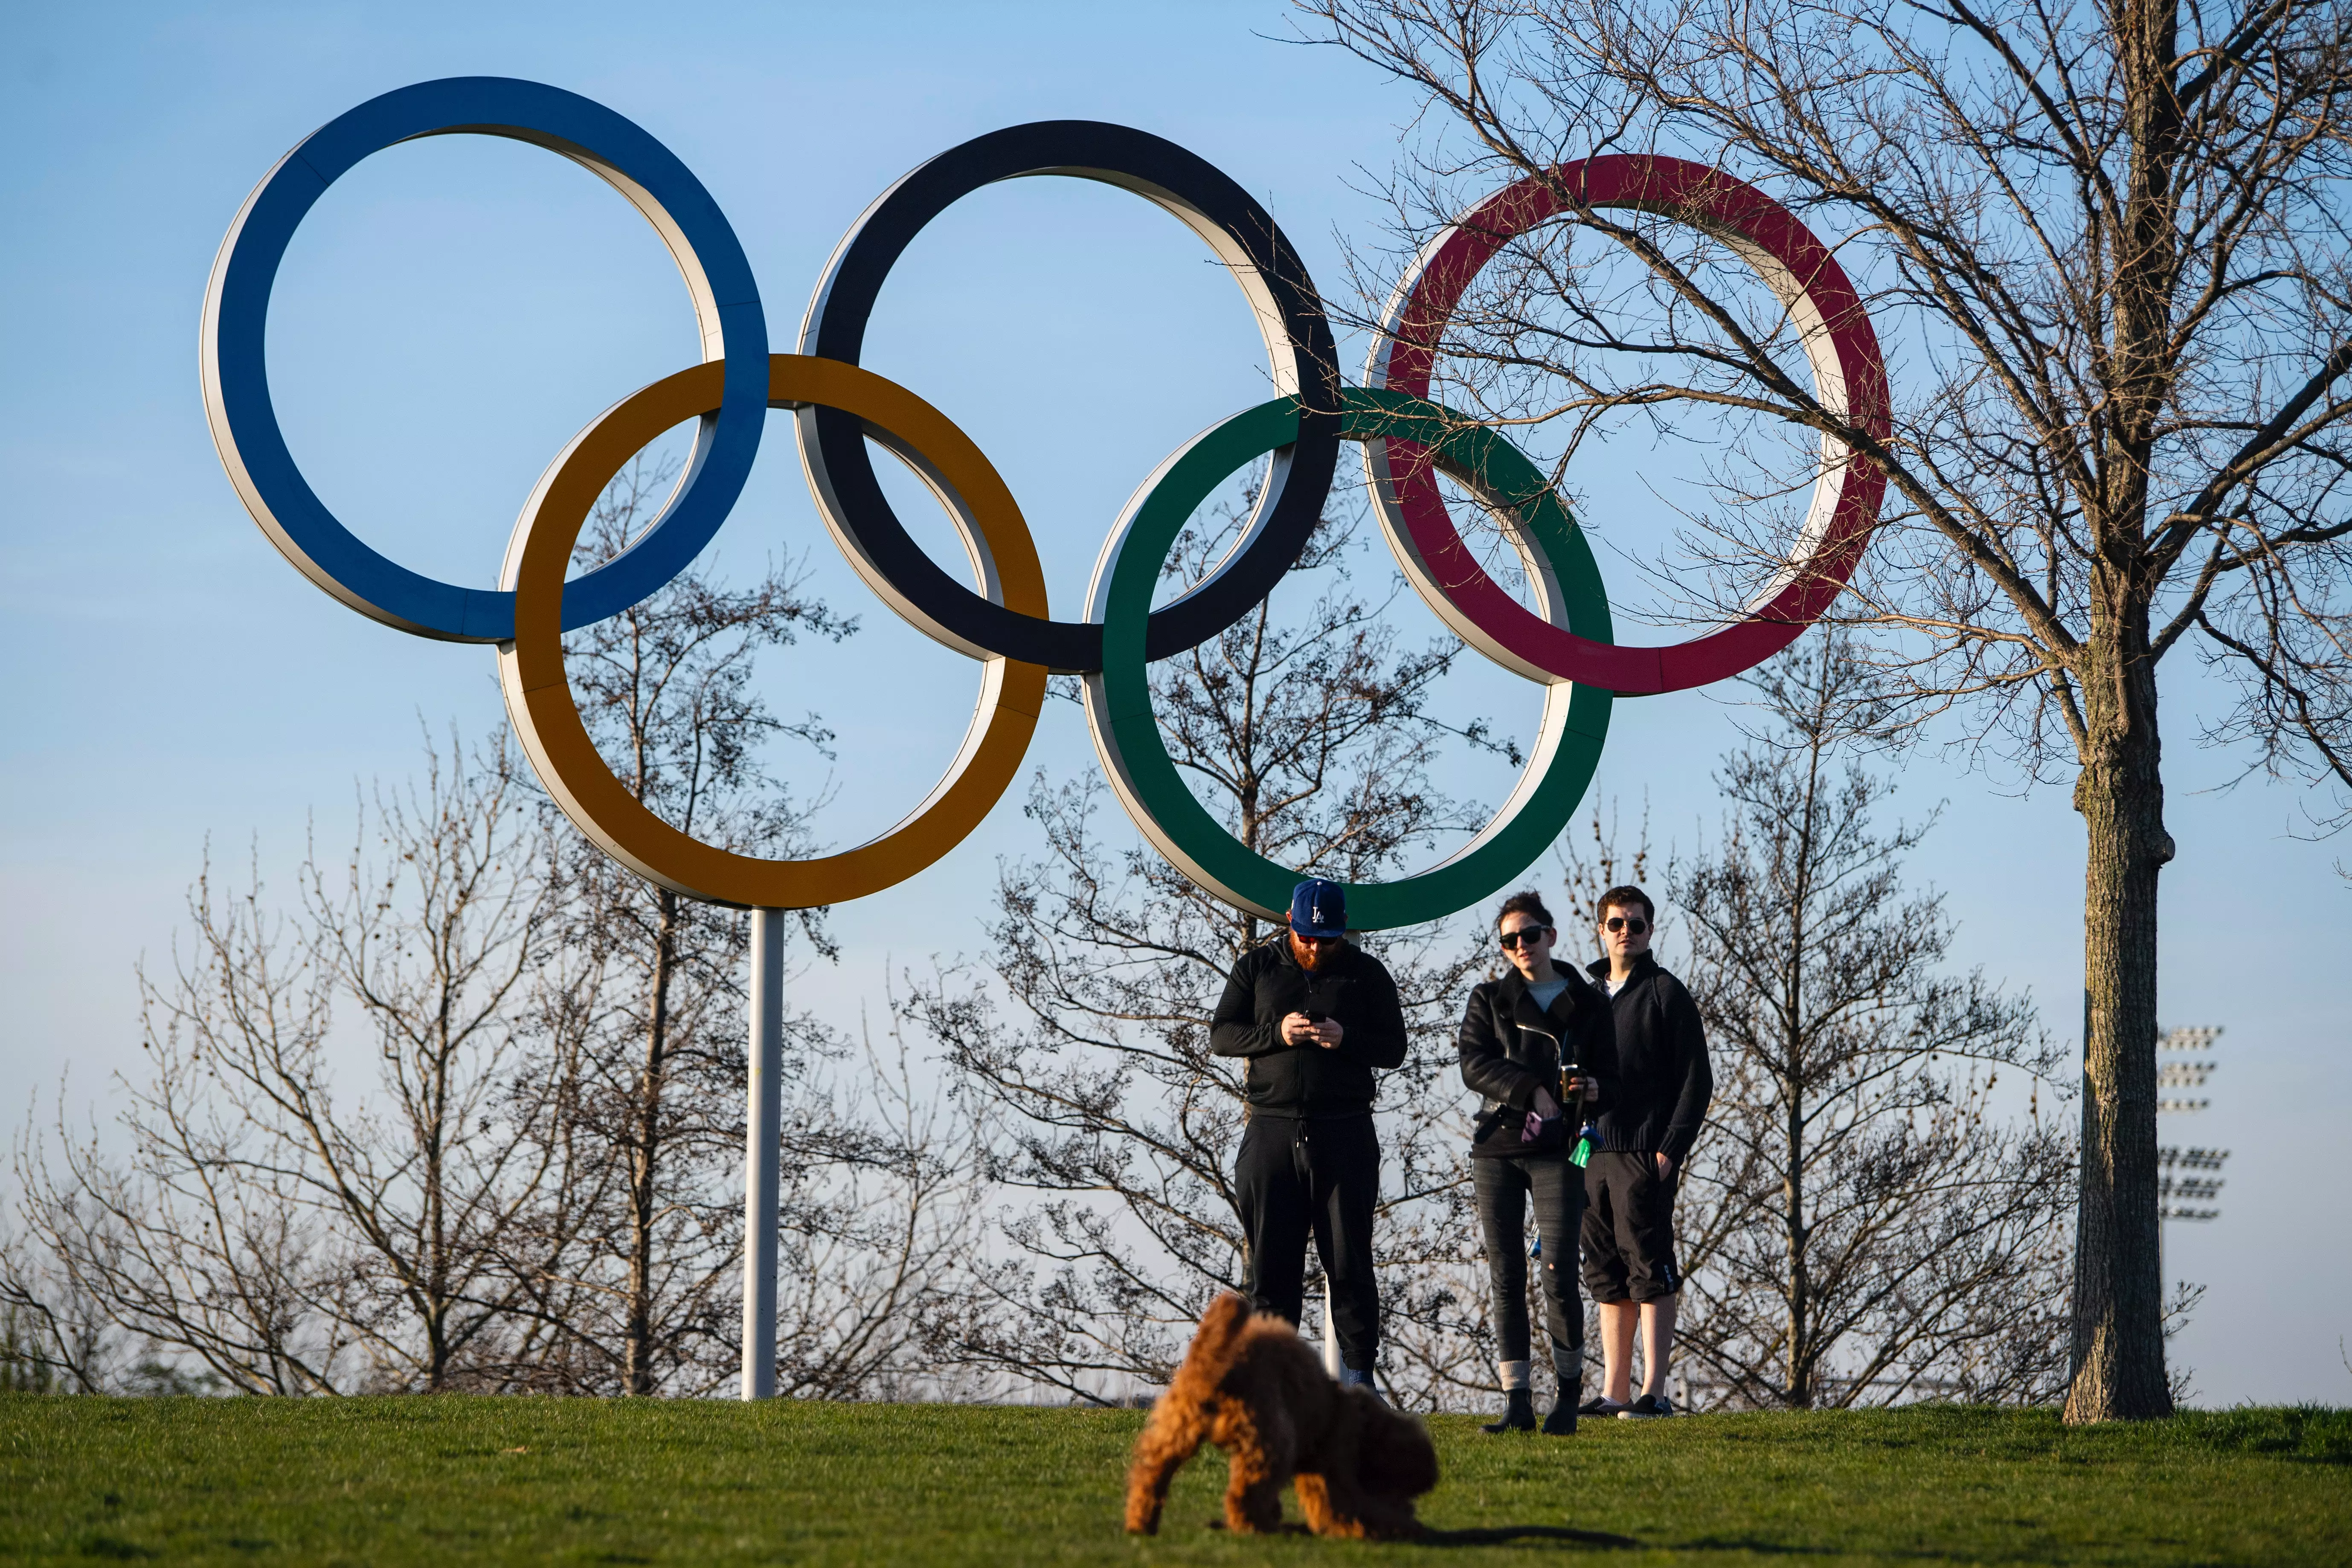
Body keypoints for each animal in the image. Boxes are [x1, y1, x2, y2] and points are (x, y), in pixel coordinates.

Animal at [1119, 1298, 1430, 1542]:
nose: (1413, 1514)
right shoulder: (1331, 1465)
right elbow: (1340, 1503)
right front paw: (1363, 1530)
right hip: (1270, 1440)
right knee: (1243, 1495)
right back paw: (1255, 1528)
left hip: (1176, 1430)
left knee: (1150, 1476)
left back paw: (1140, 1524)